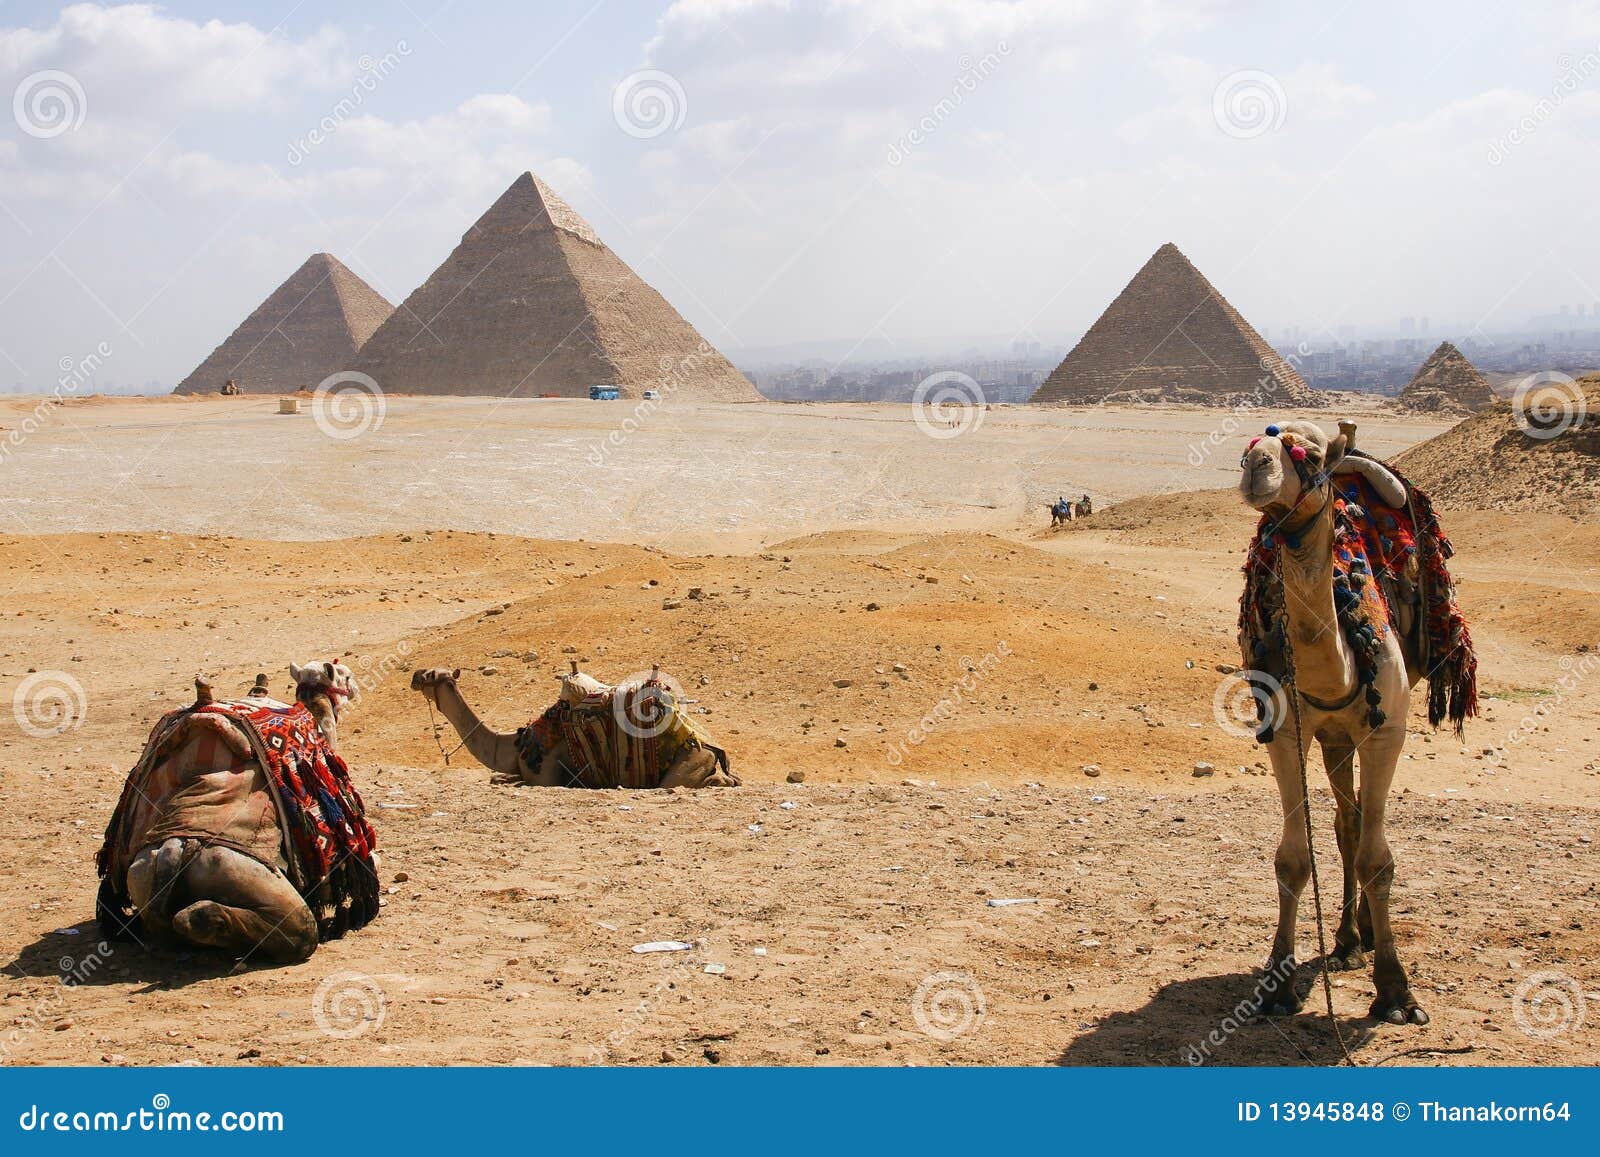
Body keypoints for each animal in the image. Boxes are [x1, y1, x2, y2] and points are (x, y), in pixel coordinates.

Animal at [99, 666, 378, 963]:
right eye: (345, 676)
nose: (355, 688)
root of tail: (172, 849)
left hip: (141, 876)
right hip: (241, 875)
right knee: (300, 930)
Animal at [410, 666, 739, 788]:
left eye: (432, 675)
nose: (414, 676)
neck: (515, 746)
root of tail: (711, 747)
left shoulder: (545, 777)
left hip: (683, 768)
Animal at [1238, 420, 1439, 1026]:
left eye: (1312, 456)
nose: (1256, 464)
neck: (1337, 670)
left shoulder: (1386, 733)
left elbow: (1380, 860)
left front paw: (1397, 993)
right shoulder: (1285, 734)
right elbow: (1292, 859)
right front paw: (1275, 985)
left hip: (1356, 733)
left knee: (1361, 827)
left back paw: (1364, 936)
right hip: (1331, 738)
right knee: (1345, 824)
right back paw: (1349, 939)